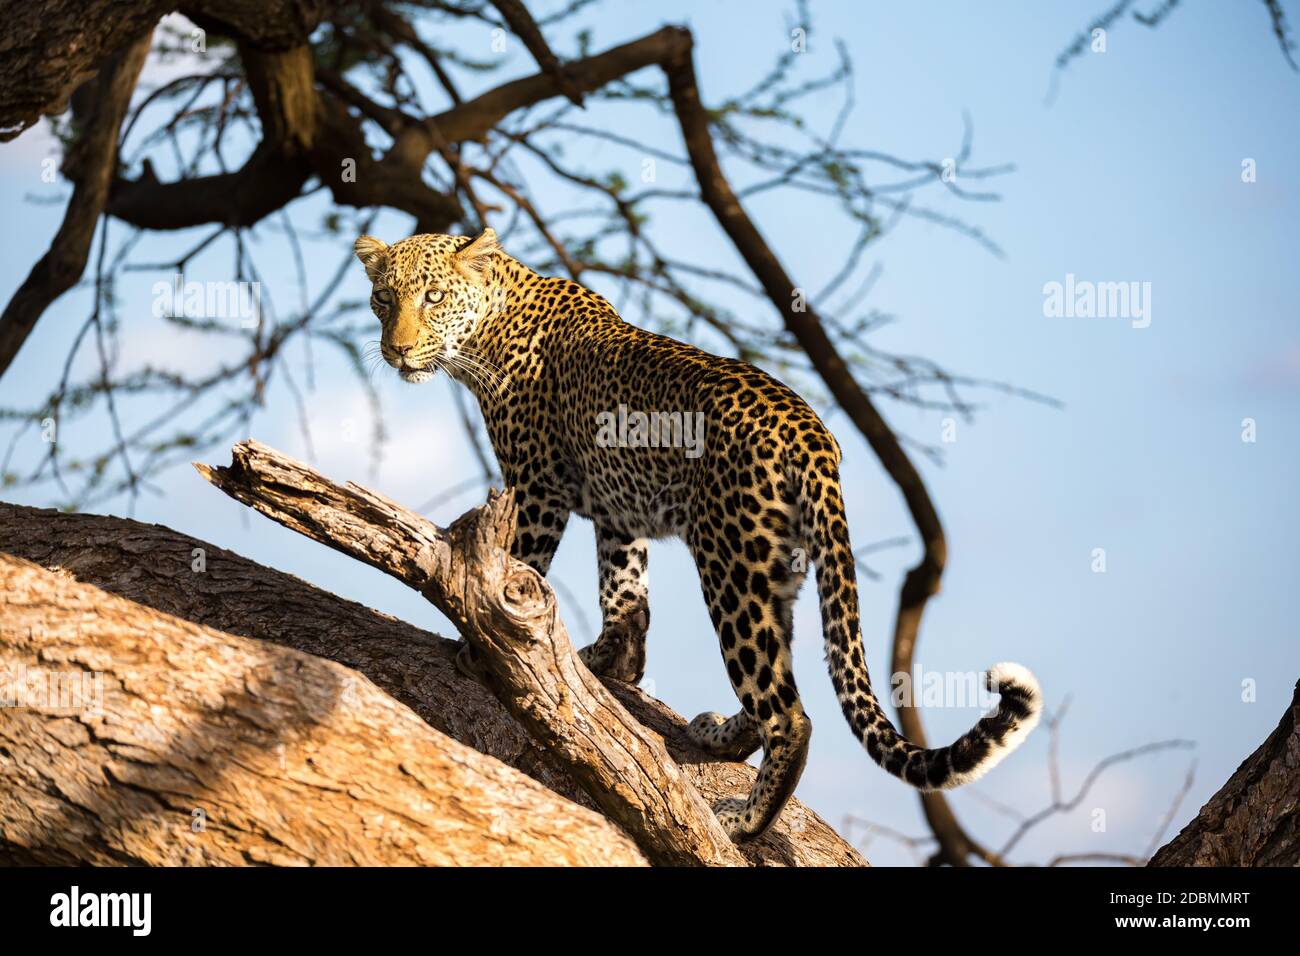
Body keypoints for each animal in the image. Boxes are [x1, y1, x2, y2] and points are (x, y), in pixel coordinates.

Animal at [355, 228, 1043, 842]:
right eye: (384, 299)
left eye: (434, 297)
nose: (397, 350)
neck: (489, 329)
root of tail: (812, 432)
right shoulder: (617, 510)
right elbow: (625, 593)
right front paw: (612, 663)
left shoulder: (538, 486)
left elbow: (520, 563)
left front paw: (482, 645)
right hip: (777, 565)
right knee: (775, 680)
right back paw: (723, 735)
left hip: (730, 561)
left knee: (789, 713)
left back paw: (744, 820)